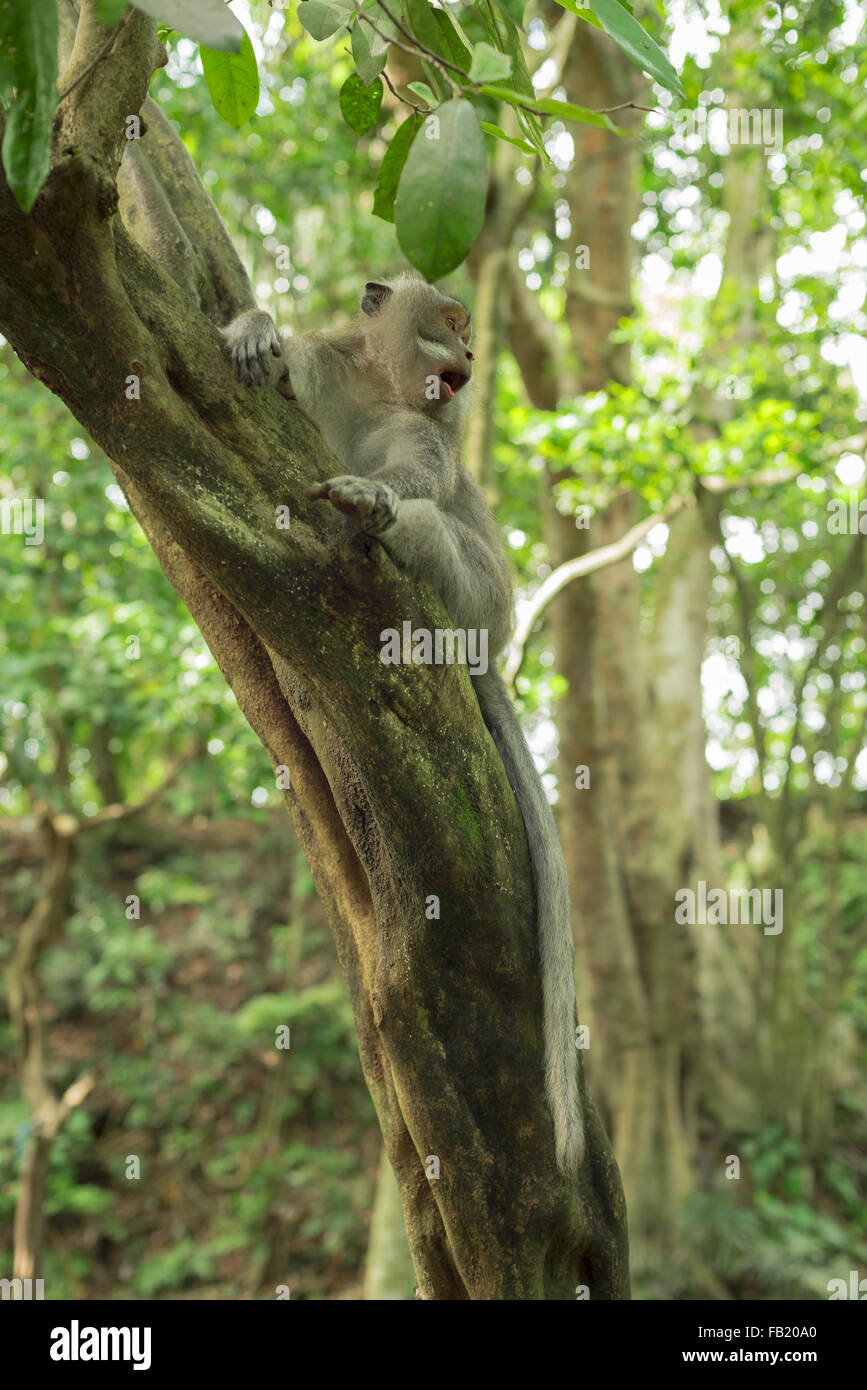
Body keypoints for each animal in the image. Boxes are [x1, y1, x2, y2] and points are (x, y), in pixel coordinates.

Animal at [222, 275, 584, 1174]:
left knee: (429, 531)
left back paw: (383, 531)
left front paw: (374, 496)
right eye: (450, 323)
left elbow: (419, 477)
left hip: (471, 597)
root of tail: (492, 643)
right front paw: (254, 330)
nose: (469, 351)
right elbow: (288, 362)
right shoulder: (325, 365)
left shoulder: (421, 431)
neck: (376, 383)